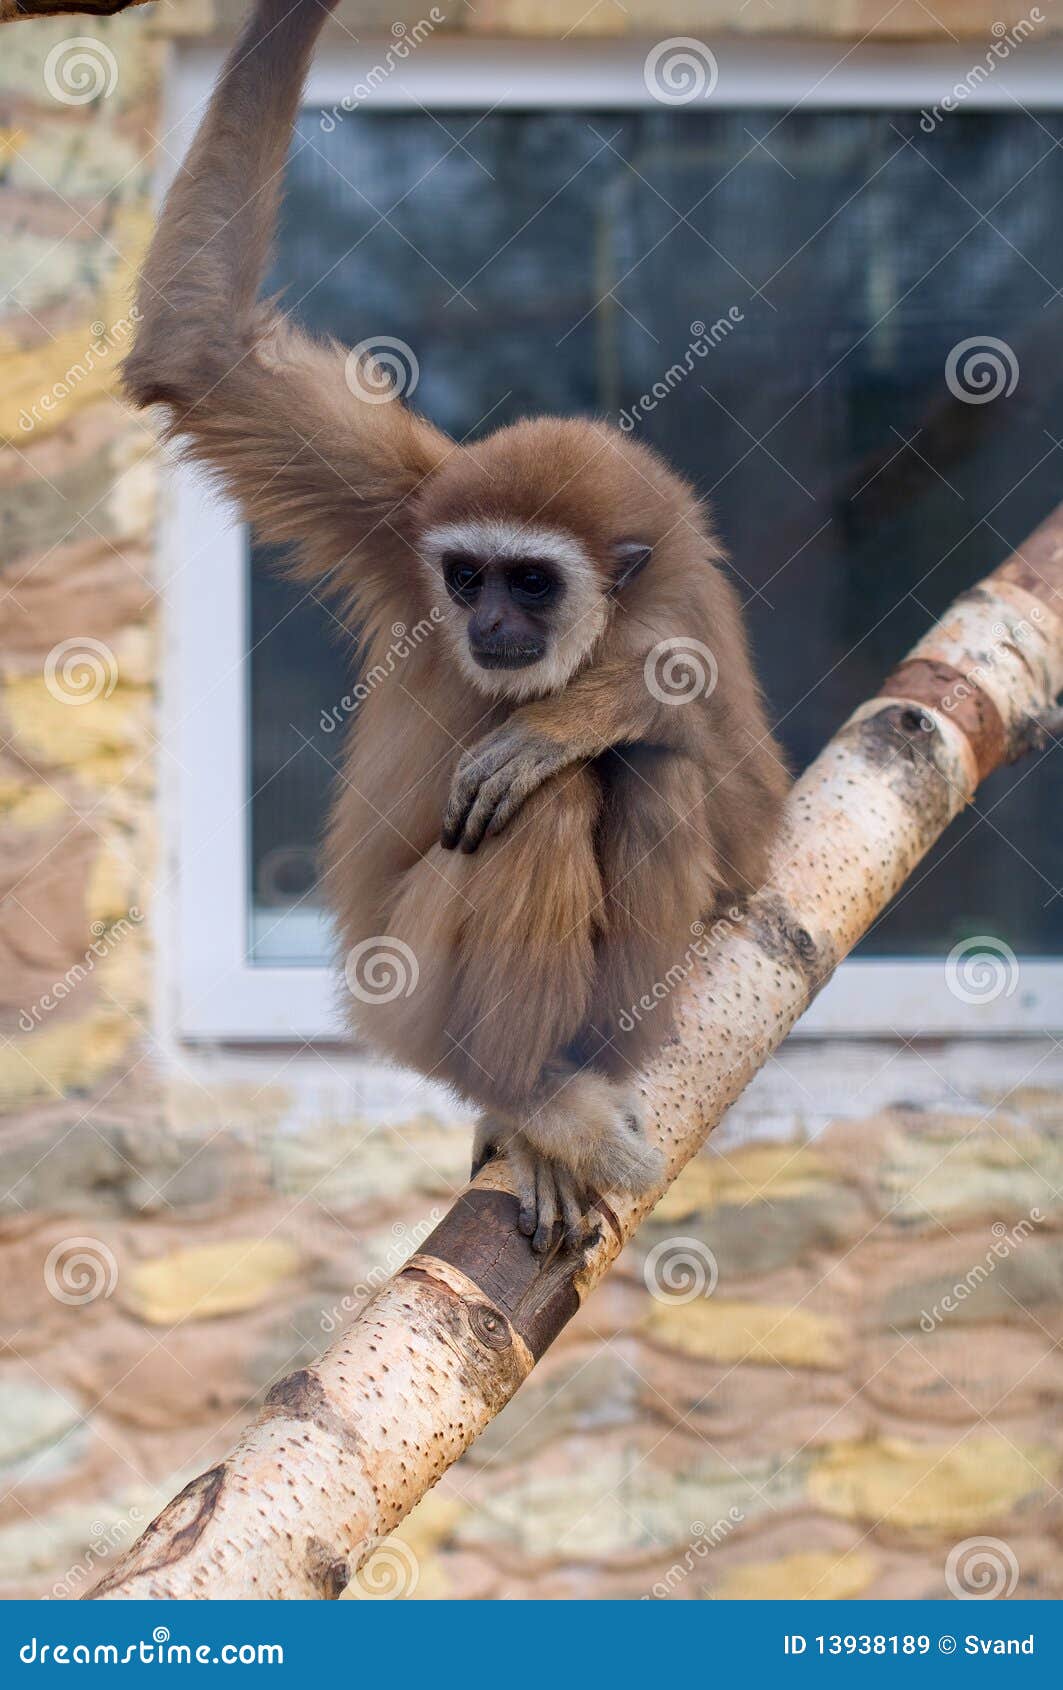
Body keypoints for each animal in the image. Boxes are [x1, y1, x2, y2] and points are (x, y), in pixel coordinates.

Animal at [123, 0, 790, 1252]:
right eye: (470, 572)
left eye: (529, 583)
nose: (484, 615)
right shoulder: (408, 499)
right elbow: (201, 349)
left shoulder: (691, 600)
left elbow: (757, 849)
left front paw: (609, 698)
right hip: (396, 992)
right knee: (547, 806)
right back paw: (529, 1099)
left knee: (643, 776)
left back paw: (569, 1076)